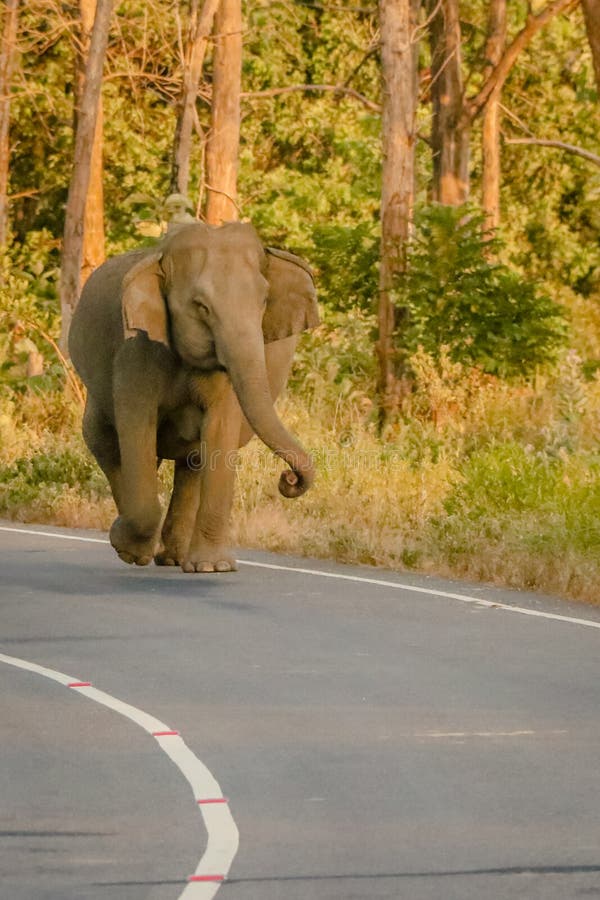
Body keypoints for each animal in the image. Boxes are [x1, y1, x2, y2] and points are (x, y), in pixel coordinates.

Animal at [68, 221, 319, 573]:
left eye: (264, 301)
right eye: (202, 307)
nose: (288, 479)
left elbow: (219, 431)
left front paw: (214, 567)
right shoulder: (136, 351)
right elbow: (137, 427)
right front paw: (125, 546)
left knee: (192, 462)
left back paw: (174, 558)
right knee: (107, 443)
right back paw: (140, 547)